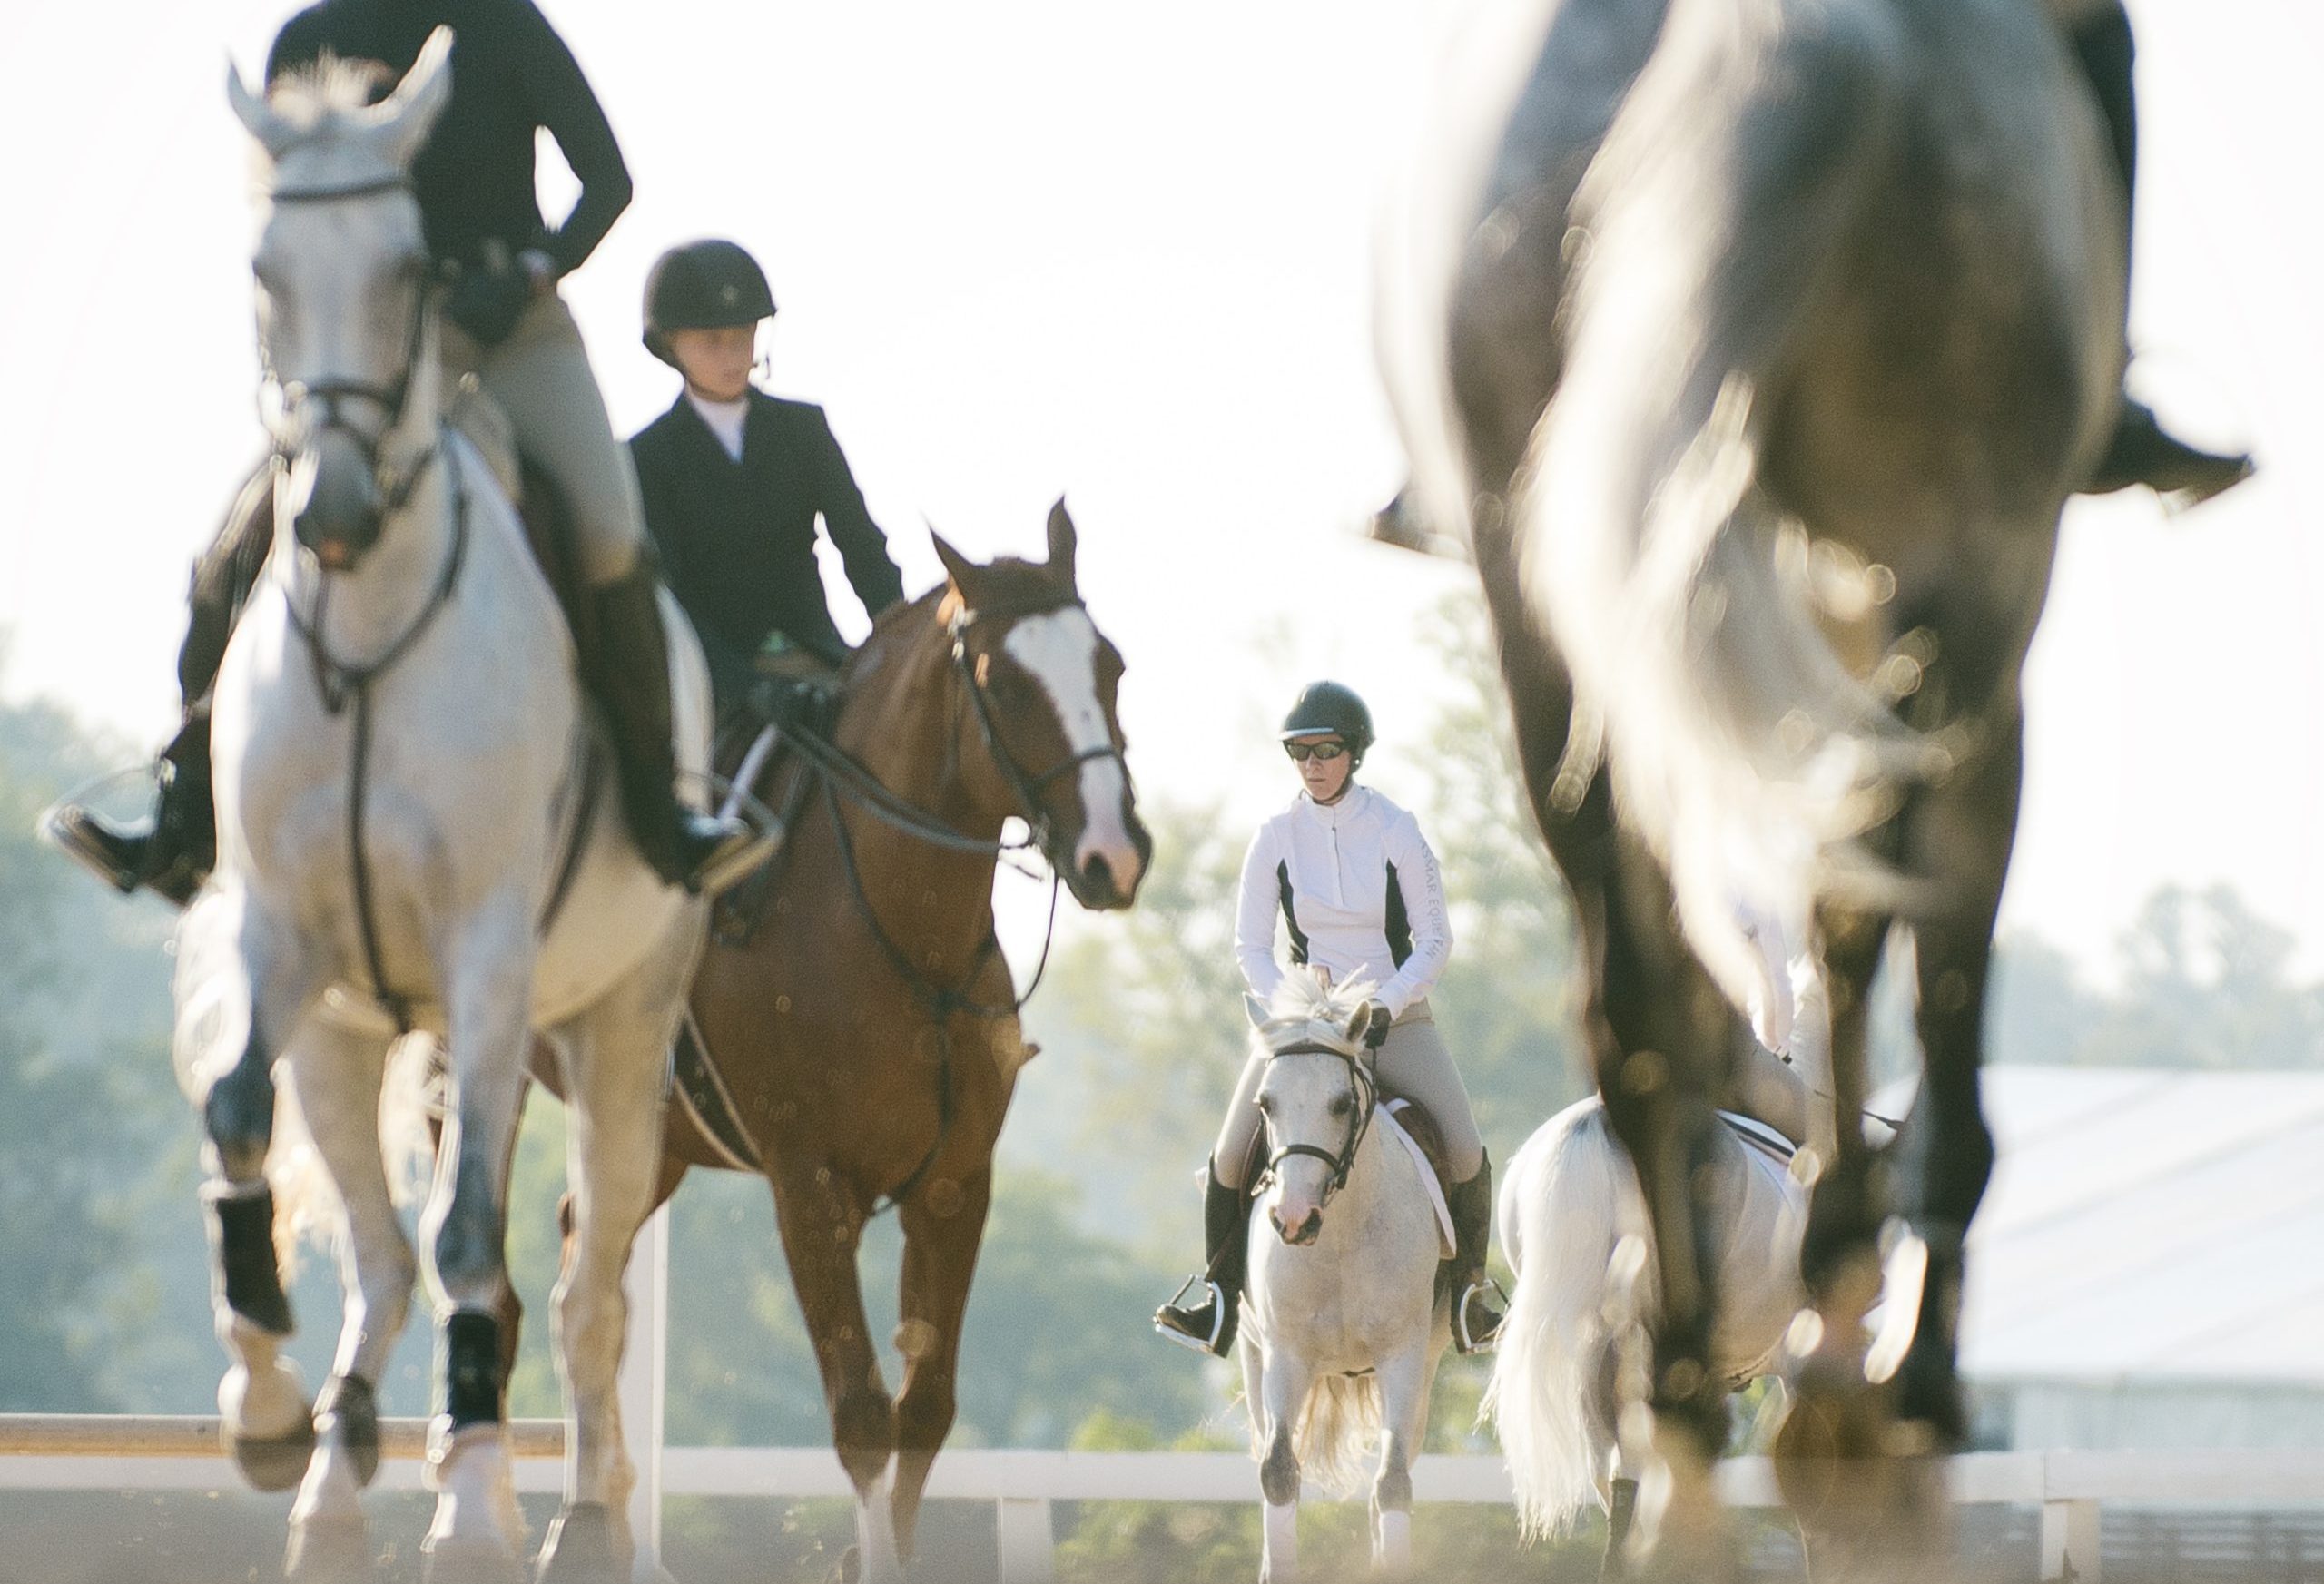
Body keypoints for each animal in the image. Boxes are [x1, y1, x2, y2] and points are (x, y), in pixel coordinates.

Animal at [176, 35, 713, 1582]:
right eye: (264, 269)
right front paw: (265, 1408)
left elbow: (477, 1229)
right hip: (357, 1035)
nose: (334, 512)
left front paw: (472, 1504)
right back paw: (334, 1476)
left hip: (616, 1025)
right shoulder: (287, 946)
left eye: (415, 267)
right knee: (378, 1249)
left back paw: (571, 1515)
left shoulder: (485, 956)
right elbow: (238, 1125)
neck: (371, 630)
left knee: (584, 1285)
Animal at [523, 501, 1149, 1584]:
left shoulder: (953, 1187)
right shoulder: (811, 1188)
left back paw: (596, 1525)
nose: (1116, 852)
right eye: (1002, 681)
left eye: (1106, 663)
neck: (894, 926)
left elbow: (924, 1410)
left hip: (647, 1139)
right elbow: (861, 1416)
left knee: (585, 1279)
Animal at [1234, 973, 1451, 1583]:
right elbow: (1279, 1472)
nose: (1293, 1219)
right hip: (1253, 1356)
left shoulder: (1403, 1356)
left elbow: (1393, 1484)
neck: (1339, 1236)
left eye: (1340, 1104)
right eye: (1265, 1104)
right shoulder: (1285, 1356)